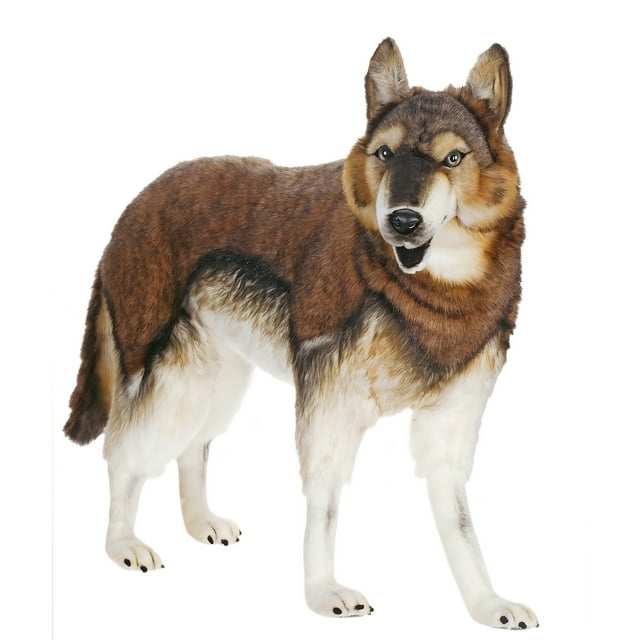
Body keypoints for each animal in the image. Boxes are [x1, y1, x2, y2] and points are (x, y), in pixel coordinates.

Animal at [64, 38, 537, 629]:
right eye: (385, 154)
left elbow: (460, 525)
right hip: (169, 383)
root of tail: (133, 205)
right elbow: (325, 506)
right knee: (123, 455)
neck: (434, 295)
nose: (402, 221)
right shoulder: (328, 406)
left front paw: (486, 603)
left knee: (193, 446)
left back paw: (199, 522)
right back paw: (122, 542)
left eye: (454, 158)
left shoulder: (451, 419)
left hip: (217, 381)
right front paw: (321, 591)